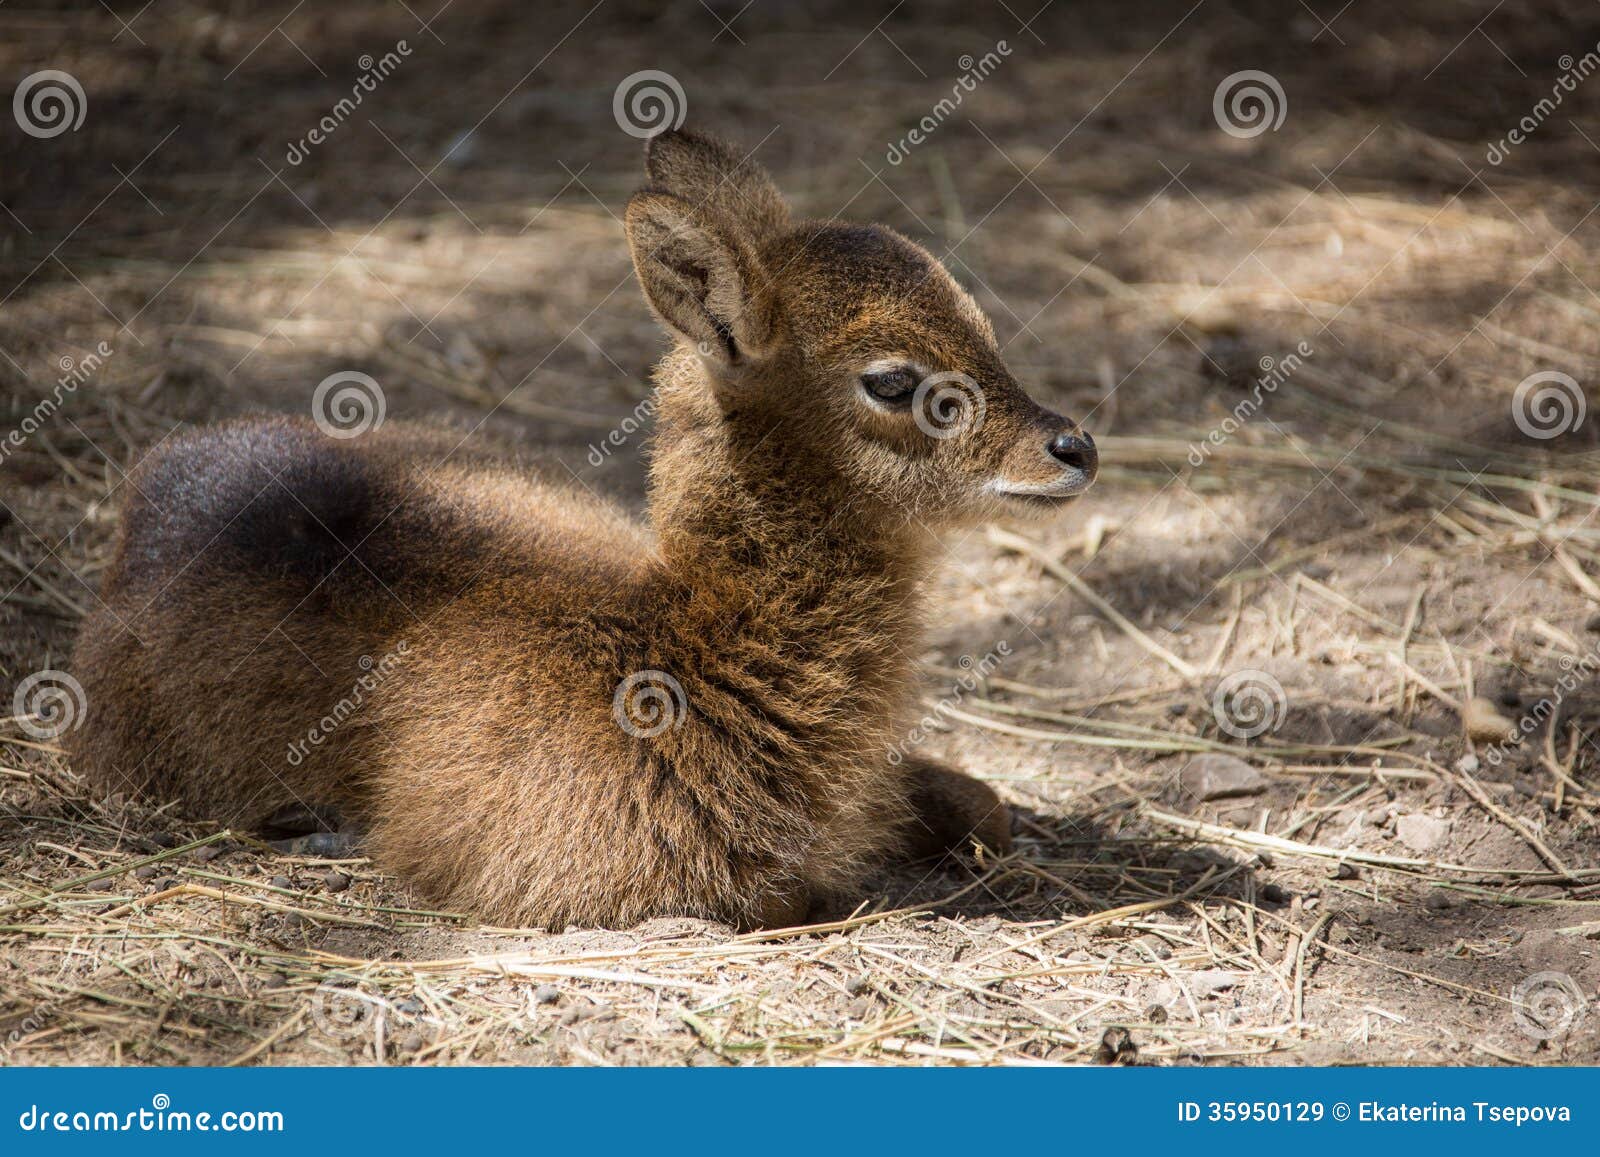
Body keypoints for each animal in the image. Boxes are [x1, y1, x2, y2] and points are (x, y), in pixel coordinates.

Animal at [69, 129, 1099, 930]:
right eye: (892, 378)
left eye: (982, 324)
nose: (1075, 446)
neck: (690, 649)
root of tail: (159, 478)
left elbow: (988, 805)